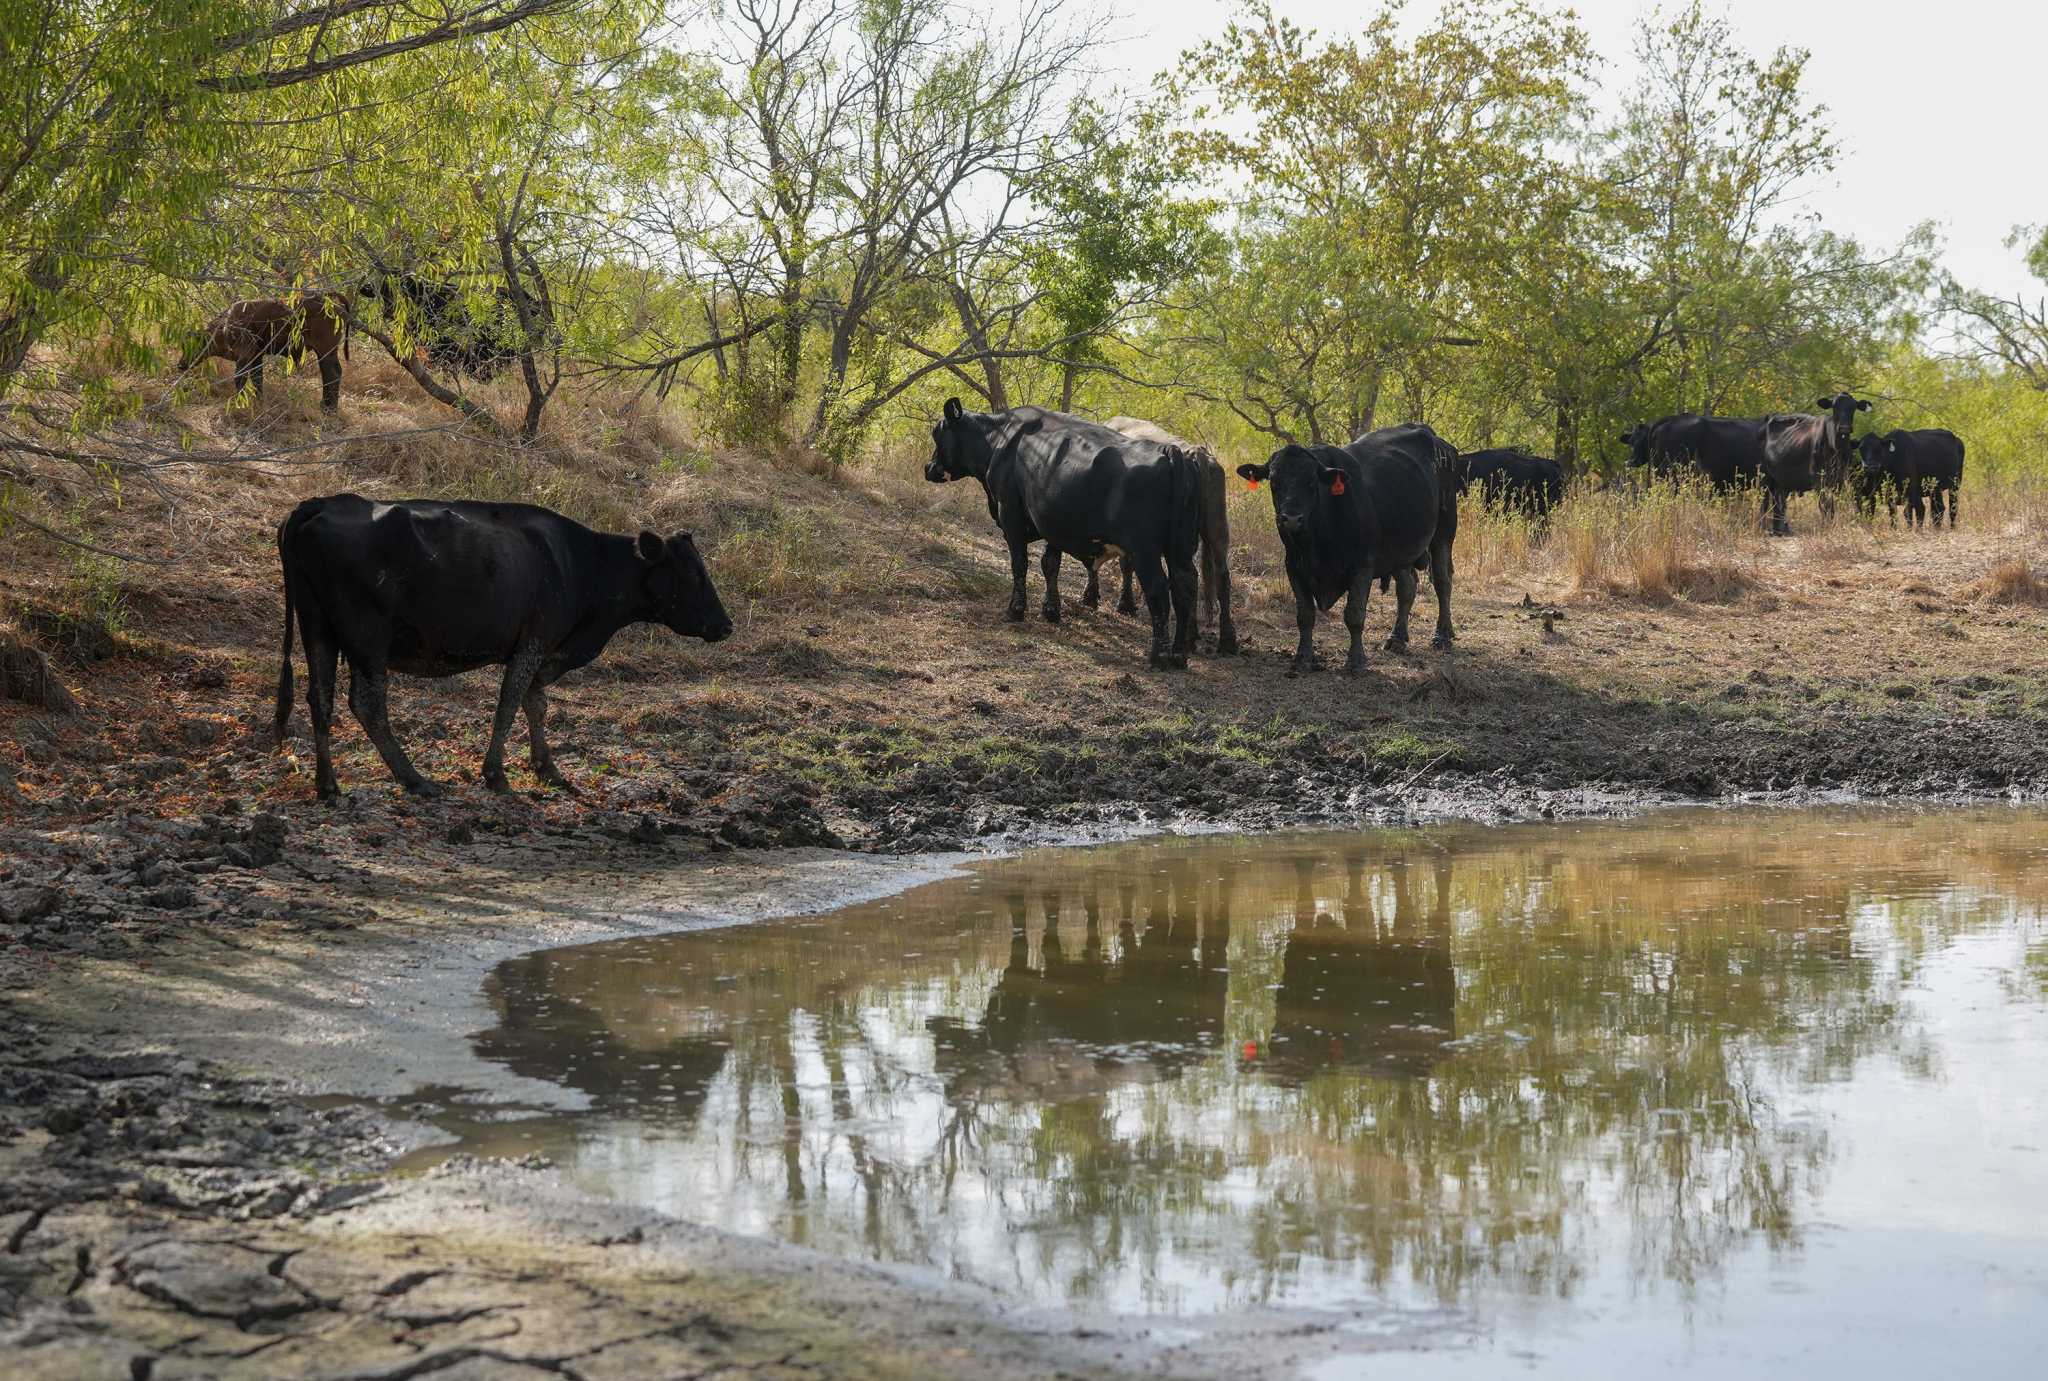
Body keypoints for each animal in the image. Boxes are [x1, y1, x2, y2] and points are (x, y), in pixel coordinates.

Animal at [179, 295, 348, 410]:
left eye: (194, 345)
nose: (181, 365)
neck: (227, 326)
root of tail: (337, 307)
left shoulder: (245, 356)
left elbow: (241, 378)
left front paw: (239, 402)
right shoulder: (256, 356)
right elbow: (257, 379)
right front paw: (259, 401)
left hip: (325, 352)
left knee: (331, 375)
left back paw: (328, 409)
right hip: (327, 354)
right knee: (334, 374)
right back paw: (327, 406)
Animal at [274, 495, 731, 800]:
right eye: (692, 574)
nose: (725, 625)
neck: (583, 565)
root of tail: (322, 503)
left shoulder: (543, 649)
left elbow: (536, 704)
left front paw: (547, 768)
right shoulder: (534, 641)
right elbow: (510, 703)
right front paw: (495, 774)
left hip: (318, 628)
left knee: (320, 698)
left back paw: (327, 784)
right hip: (367, 638)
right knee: (366, 702)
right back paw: (414, 778)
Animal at [926, 401, 1203, 668]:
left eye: (937, 433)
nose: (928, 467)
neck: (1001, 439)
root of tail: (1168, 452)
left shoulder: (1010, 514)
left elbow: (1020, 564)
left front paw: (1016, 610)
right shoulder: (1053, 522)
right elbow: (1050, 564)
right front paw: (1051, 610)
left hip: (1144, 549)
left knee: (1159, 590)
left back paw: (1158, 656)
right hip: (1181, 549)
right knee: (1185, 588)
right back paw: (1179, 655)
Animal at [1234, 423, 1462, 676]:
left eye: (1311, 481)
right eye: (1274, 482)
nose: (1291, 519)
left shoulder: (1362, 567)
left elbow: (1354, 615)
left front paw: (1356, 661)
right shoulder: (1293, 566)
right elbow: (1305, 615)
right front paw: (1302, 658)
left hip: (1444, 531)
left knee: (1442, 582)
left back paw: (1442, 635)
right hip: (1401, 552)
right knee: (1407, 588)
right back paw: (1397, 638)